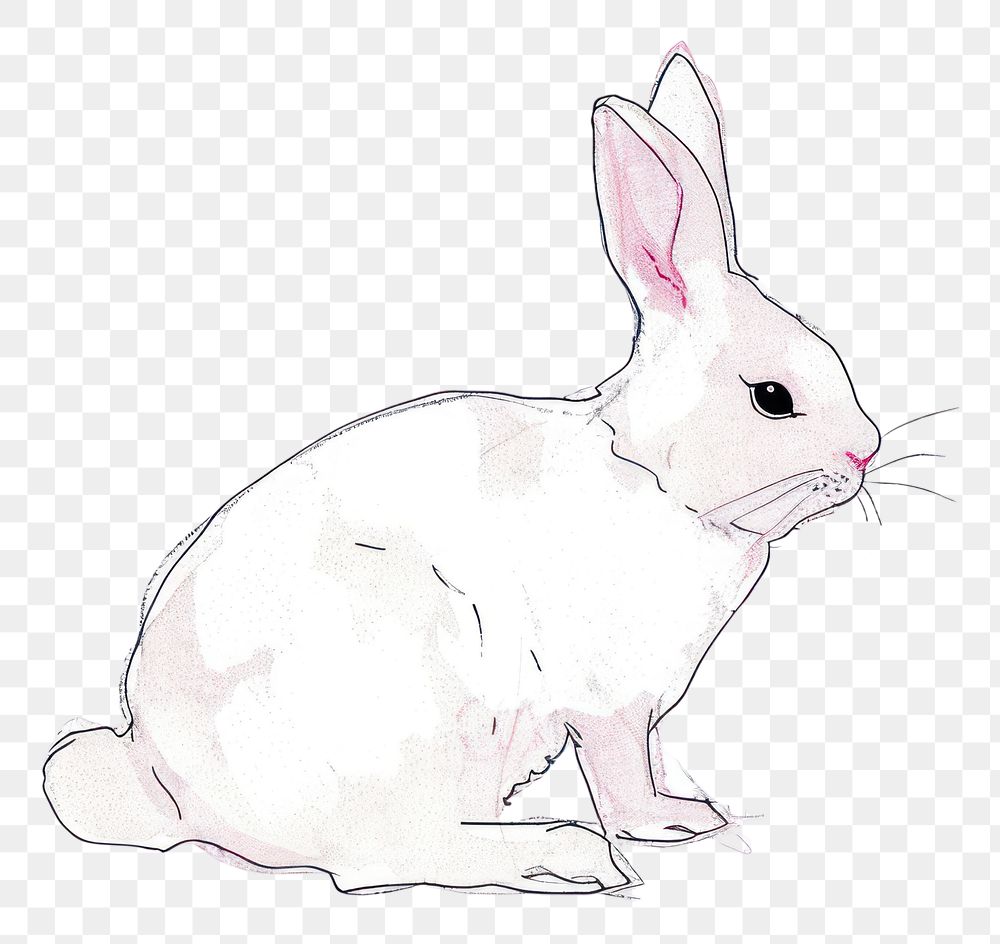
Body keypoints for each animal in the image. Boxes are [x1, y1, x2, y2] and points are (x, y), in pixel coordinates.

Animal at [44, 43, 880, 895]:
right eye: (773, 398)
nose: (866, 452)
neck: (656, 479)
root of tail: (167, 786)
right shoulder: (607, 699)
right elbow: (622, 773)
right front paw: (668, 823)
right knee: (393, 854)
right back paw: (564, 854)